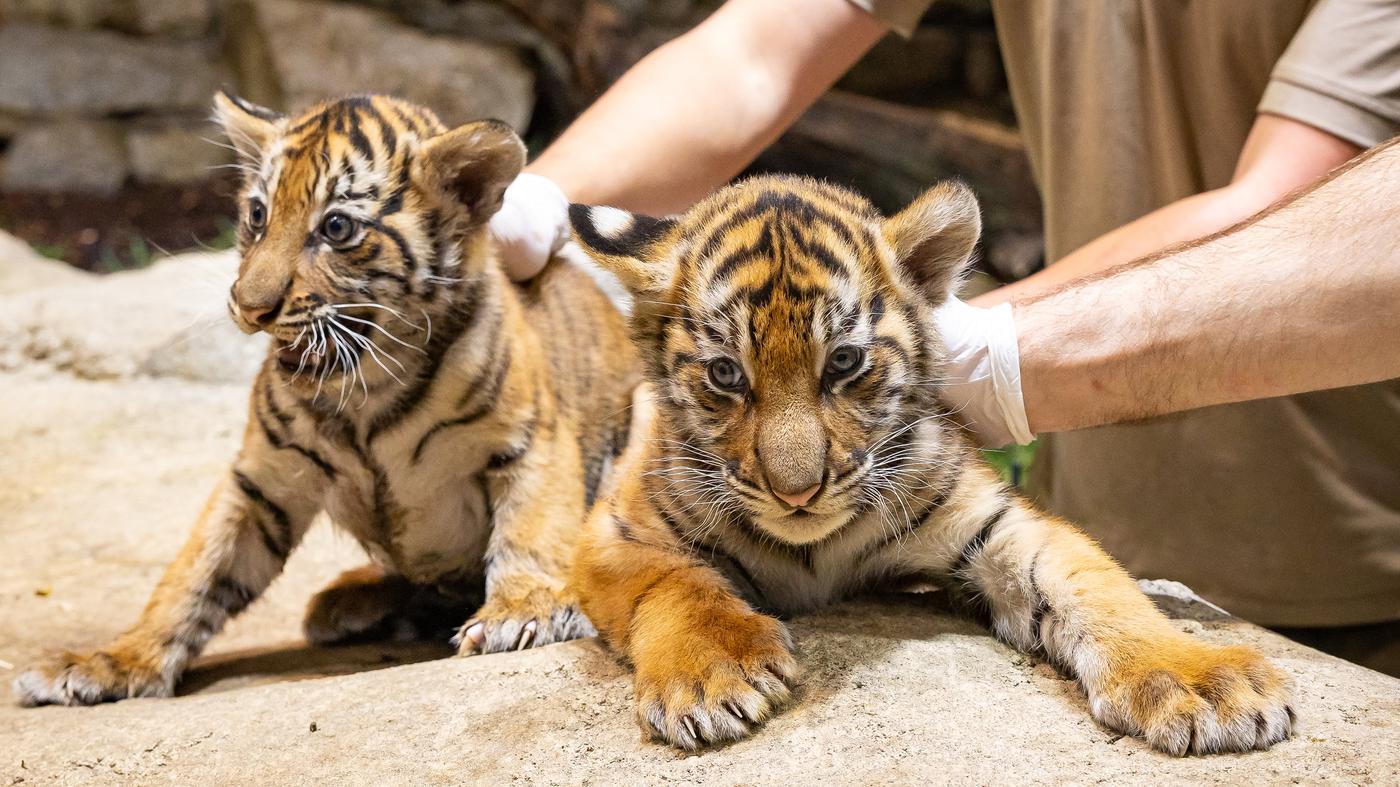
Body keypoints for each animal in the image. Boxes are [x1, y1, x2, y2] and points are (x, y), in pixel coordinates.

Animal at [13, 92, 640, 706]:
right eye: (258, 214)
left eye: (336, 227)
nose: (251, 307)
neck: (366, 393)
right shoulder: (260, 479)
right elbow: (194, 574)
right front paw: (113, 661)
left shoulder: (528, 440)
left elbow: (533, 529)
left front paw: (520, 611)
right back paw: (348, 602)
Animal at [566, 175, 1296, 755]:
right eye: (726, 374)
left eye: (844, 362)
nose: (797, 493)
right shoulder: (616, 532)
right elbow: (674, 582)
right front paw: (711, 673)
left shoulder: (998, 522)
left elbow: (1099, 588)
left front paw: (1201, 679)